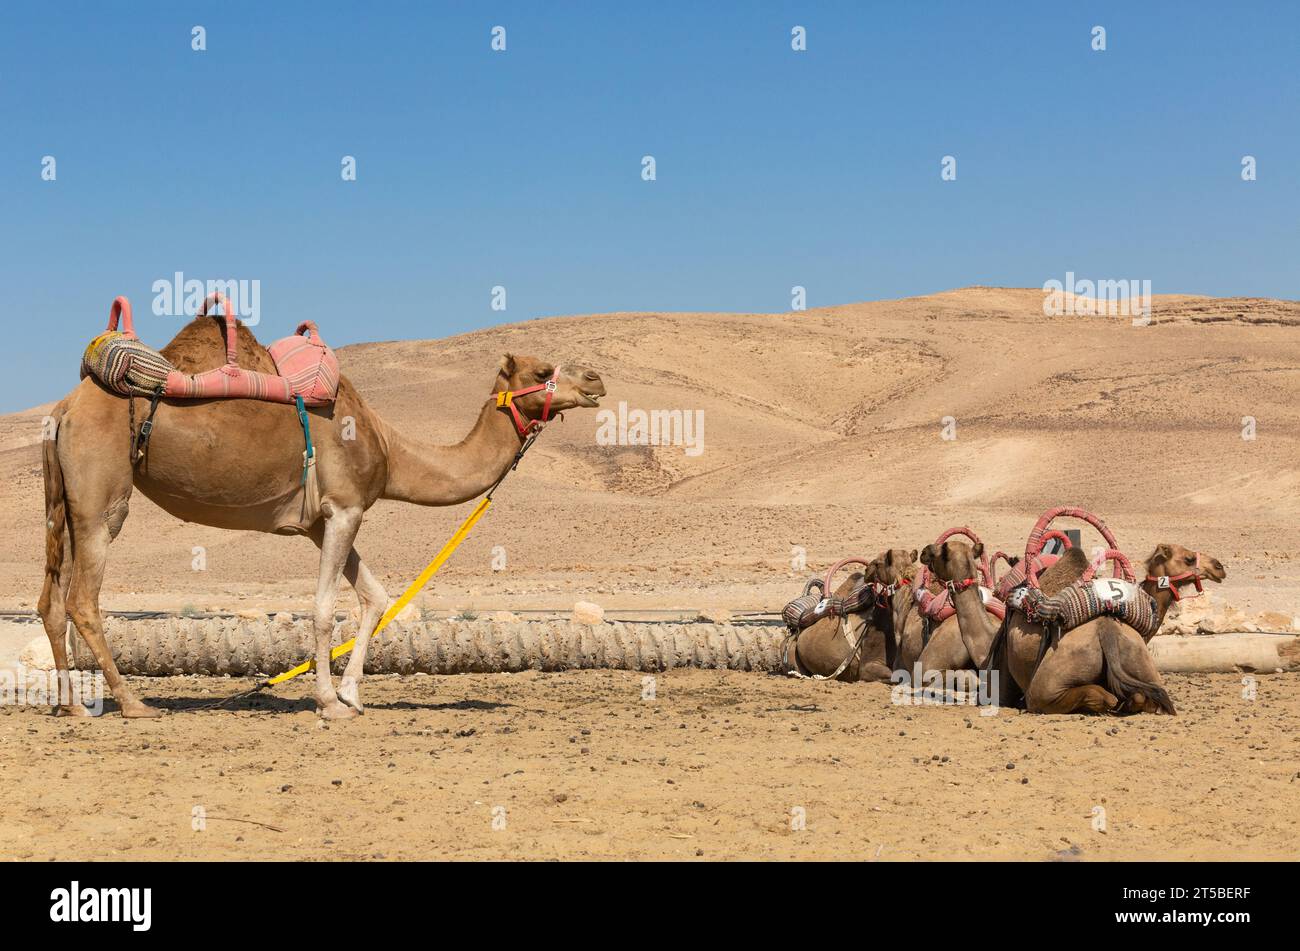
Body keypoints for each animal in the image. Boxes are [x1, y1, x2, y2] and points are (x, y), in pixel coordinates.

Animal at [38, 312, 606, 718]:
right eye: (542, 371)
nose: (596, 379)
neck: (388, 448)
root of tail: (63, 410)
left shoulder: (320, 522)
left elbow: (376, 598)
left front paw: (353, 694)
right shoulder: (345, 509)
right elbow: (325, 609)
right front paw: (331, 703)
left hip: (65, 504)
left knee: (51, 599)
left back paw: (71, 705)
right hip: (102, 500)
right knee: (83, 598)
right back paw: (133, 703)